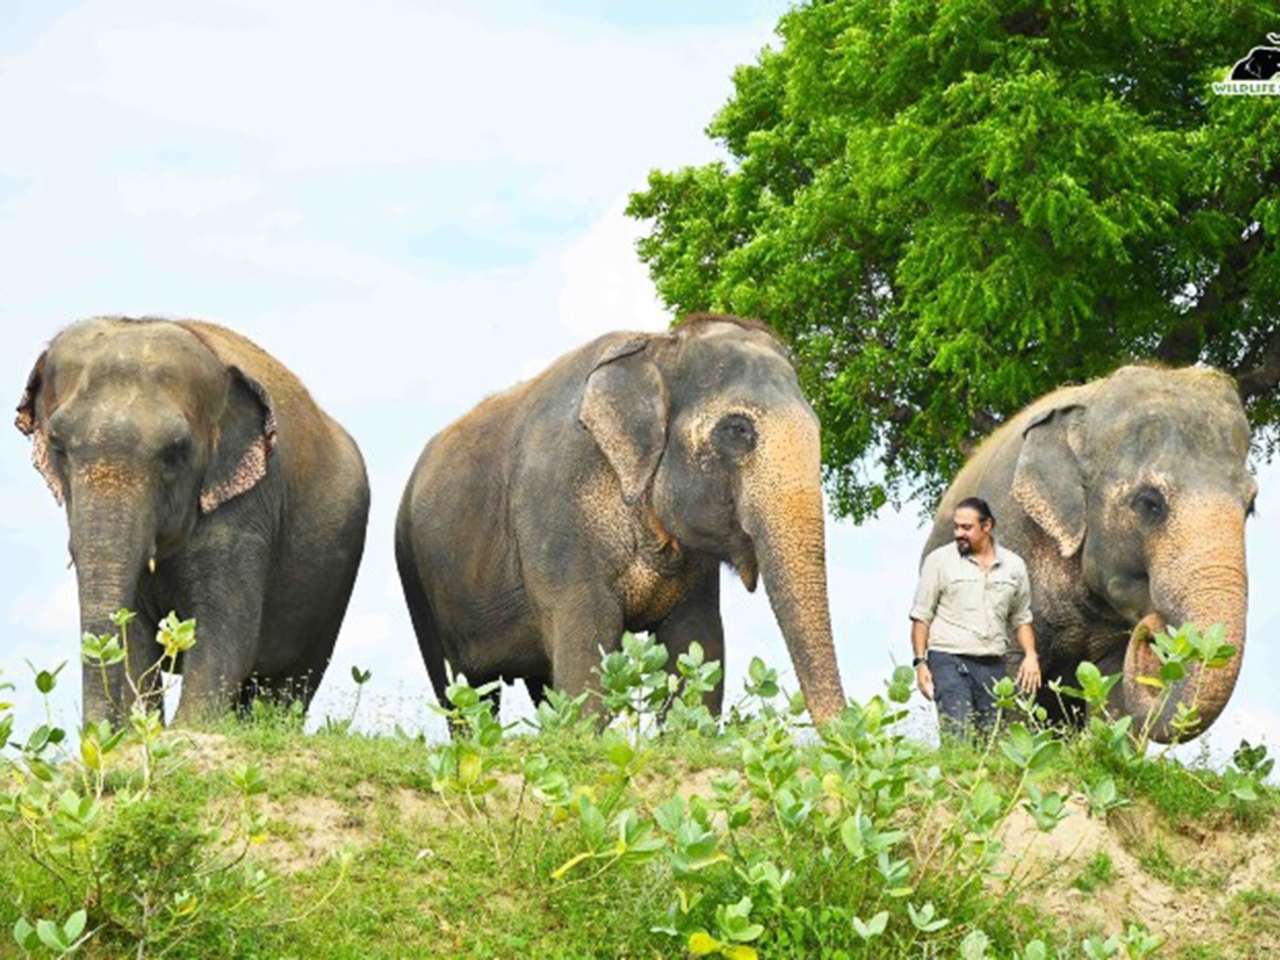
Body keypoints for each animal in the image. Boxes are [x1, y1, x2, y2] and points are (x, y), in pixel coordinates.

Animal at [15, 317, 370, 725]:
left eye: (175, 452)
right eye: (57, 446)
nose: (100, 731)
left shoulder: (248, 509)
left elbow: (224, 636)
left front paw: (183, 729)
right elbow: (135, 640)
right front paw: (142, 726)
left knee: (289, 683)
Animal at [395, 314, 846, 723]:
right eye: (737, 430)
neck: (657, 345)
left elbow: (697, 645)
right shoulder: (558, 511)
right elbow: (585, 651)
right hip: (416, 578)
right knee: (462, 691)